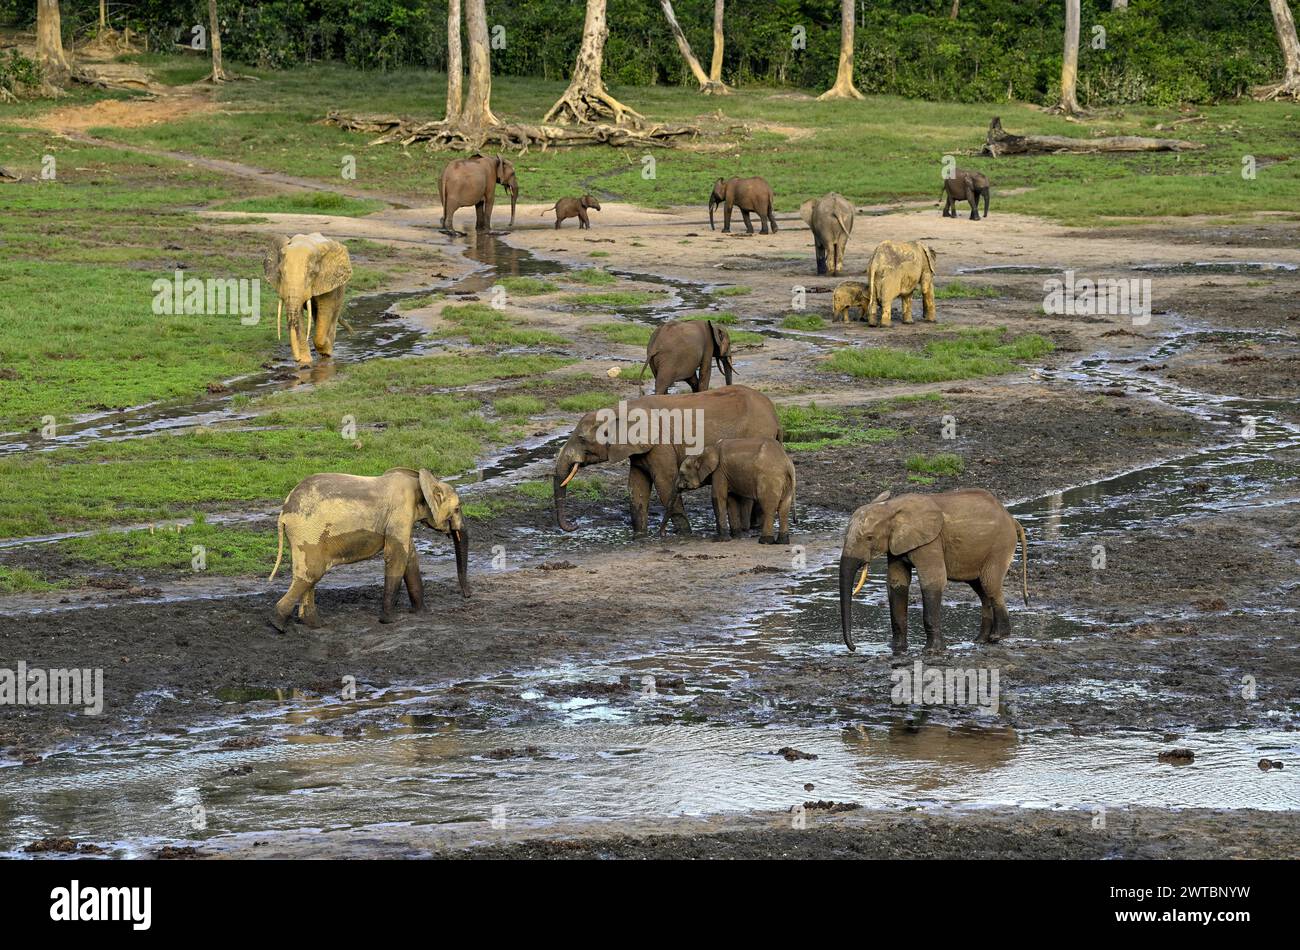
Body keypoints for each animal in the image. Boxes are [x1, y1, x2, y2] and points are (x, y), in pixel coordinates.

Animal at [263, 233, 353, 366]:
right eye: (280, 273)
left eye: (311, 274)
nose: (297, 359)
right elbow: (298, 314)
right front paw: (305, 362)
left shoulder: (326, 279)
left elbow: (326, 309)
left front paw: (325, 351)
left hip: (341, 286)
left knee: (333, 314)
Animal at [268, 467, 470, 631]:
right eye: (457, 509)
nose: (467, 596)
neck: (423, 481)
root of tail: (283, 512)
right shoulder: (400, 512)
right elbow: (396, 557)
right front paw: (389, 621)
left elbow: (410, 558)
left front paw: (420, 613)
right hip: (307, 532)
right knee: (312, 573)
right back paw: (278, 625)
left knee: (309, 575)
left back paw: (314, 625)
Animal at [552, 385, 783, 539]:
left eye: (582, 439)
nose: (574, 526)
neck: (619, 410)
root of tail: (774, 414)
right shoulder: (639, 449)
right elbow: (636, 487)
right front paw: (640, 537)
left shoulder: (661, 444)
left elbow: (664, 484)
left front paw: (684, 534)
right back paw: (753, 527)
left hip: (756, 434)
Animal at [666, 437, 796, 545]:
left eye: (682, 473)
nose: (661, 535)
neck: (702, 452)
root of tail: (787, 463)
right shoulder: (727, 474)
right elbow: (731, 500)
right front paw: (737, 536)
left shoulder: (719, 471)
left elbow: (718, 497)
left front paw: (720, 539)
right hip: (786, 483)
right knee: (784, 508)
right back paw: (782, 541)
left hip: (769, 478)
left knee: (769, 506)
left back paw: (765, 541)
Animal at [838, 489, 1028, 654]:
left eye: (869, 538)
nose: (854, 648)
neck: (891, 507)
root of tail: (1012, 519)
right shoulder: (896, 544)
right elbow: (897, 582)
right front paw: (896, 649)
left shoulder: (931, 541)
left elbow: (932, 580)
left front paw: (932, 651)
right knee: (980, 588)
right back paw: (980, 640)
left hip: (1001, 545)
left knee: (990, 583)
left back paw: (998, 636)